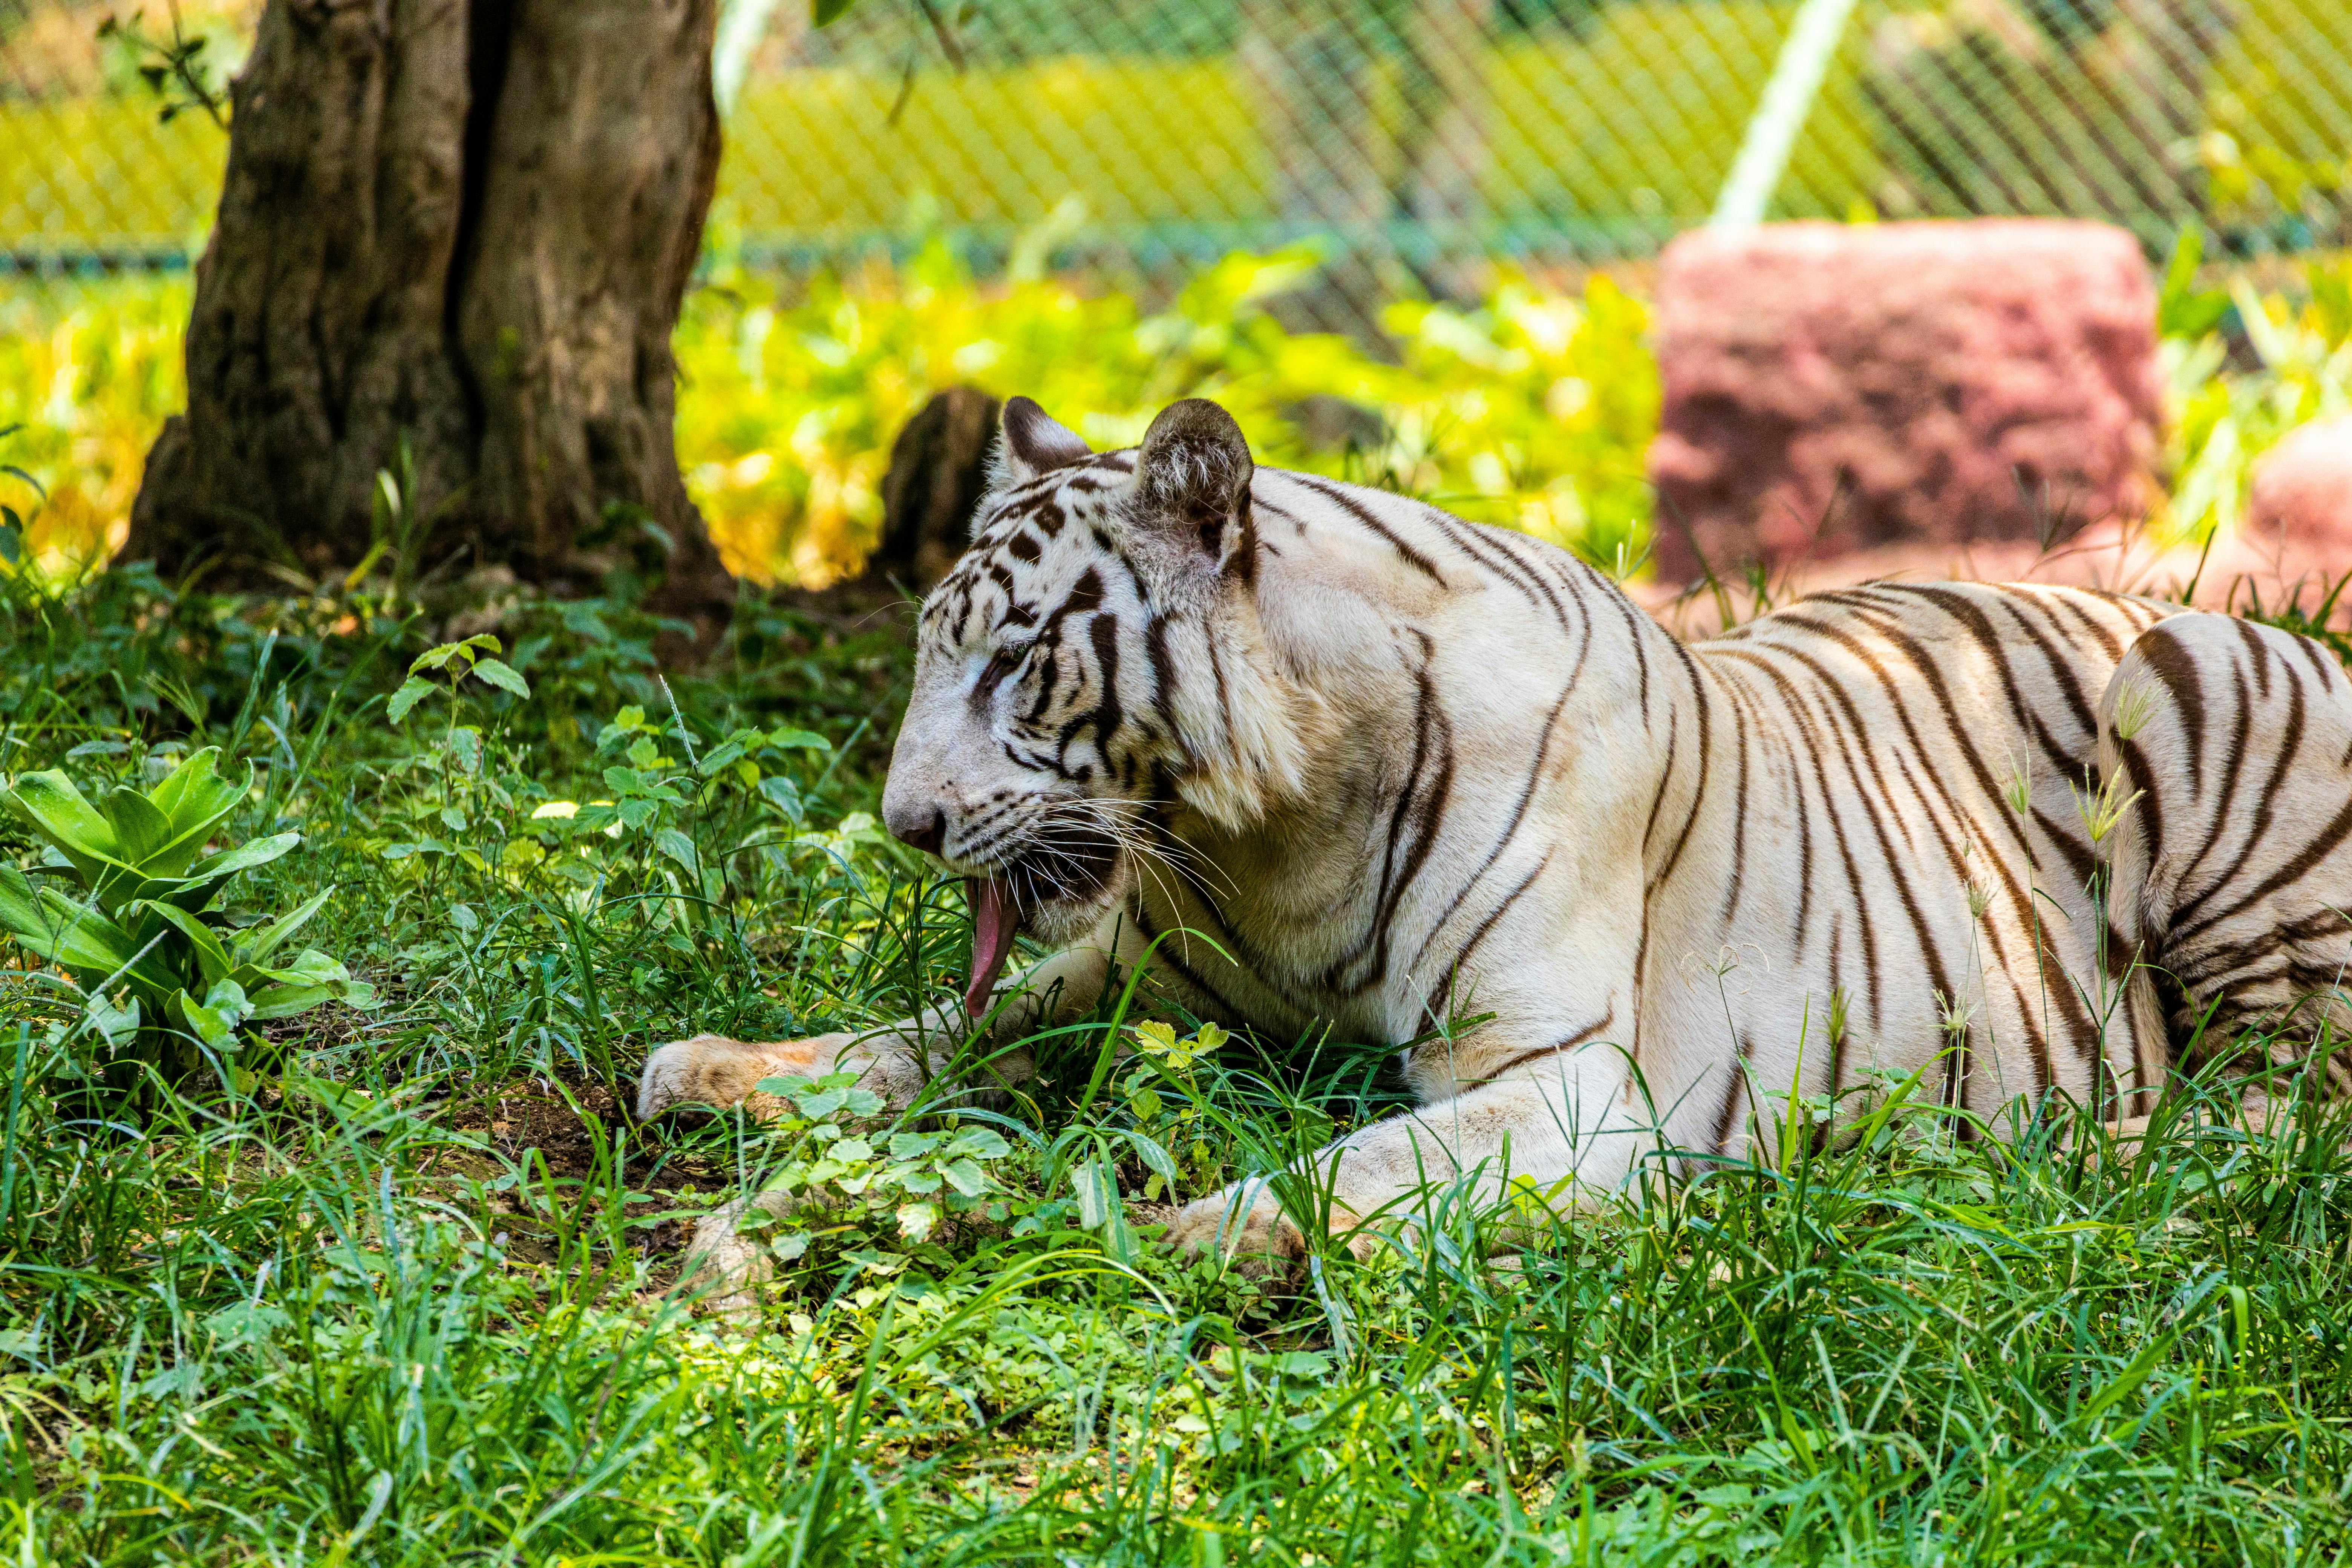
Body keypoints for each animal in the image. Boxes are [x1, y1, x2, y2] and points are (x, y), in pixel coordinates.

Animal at [638, 394, 2352, 1276]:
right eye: (936, 648)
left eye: (1011, 658)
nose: (907, 825)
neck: (1271, 830)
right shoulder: (1141, 982)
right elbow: (930, 1031)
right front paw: (720, 1068)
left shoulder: (1573, 1082)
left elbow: (1341, 1172)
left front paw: (1161, 1228)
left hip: (2193, 696)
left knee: (2270, 1120)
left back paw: (2031, 1154)